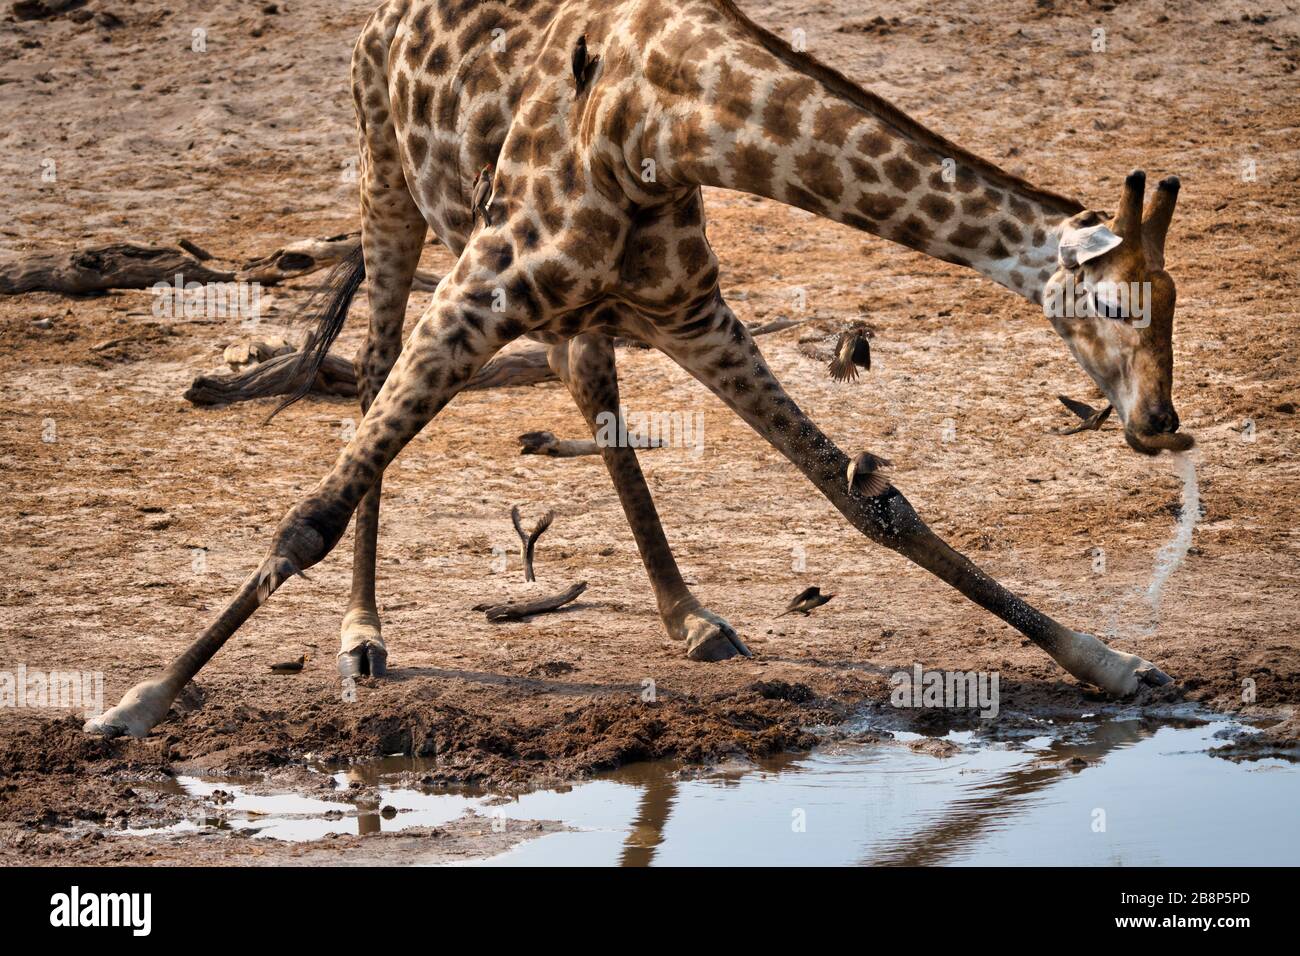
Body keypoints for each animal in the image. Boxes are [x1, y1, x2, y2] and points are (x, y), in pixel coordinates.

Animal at [85, 0, 1192, 738]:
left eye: (1175, 302)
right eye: (1113, 307)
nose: (1158, 421)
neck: (668, 121)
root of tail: (381, 17)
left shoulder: (691, 311)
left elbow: (872, 505)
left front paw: (1113, 664)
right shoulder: (477, 293)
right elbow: (306, 516)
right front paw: (138, 703)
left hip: (578, 309)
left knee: (594, 401)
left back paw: (688, 616)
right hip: (386, 184)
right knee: (366, 376)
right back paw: (363, 630)